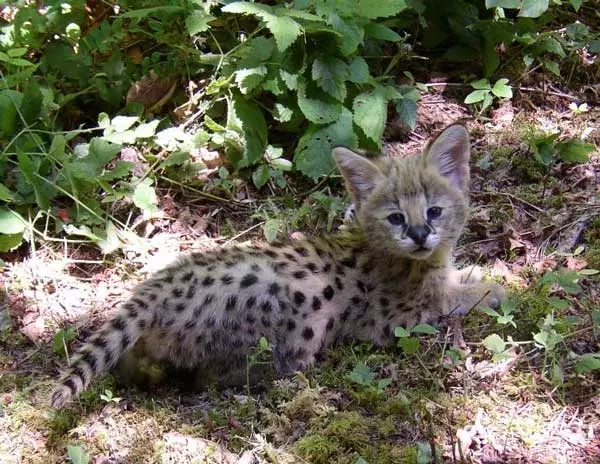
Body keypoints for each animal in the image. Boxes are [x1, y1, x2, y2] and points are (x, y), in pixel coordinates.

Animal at [49, 124, 504, 410]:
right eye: (395, 217)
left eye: (434, 211)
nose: (420, 234)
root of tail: (159, 286)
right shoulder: (398, 317)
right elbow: (455, 297)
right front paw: (496, 287)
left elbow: (459, 278)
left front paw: (487, 273)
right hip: (283, 309)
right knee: (207, 375)